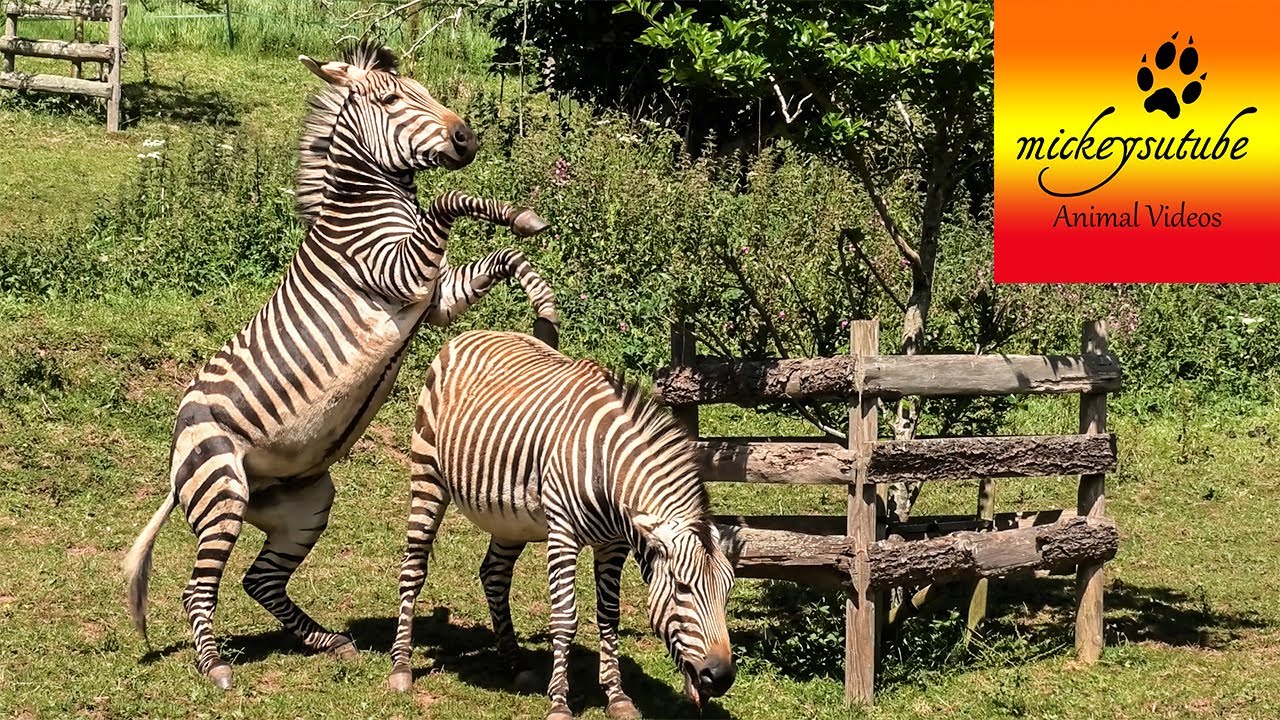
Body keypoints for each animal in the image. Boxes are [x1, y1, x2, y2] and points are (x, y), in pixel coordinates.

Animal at [121, 44, 559, 690]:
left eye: (421, 89)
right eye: (392, 99)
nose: (467, 138)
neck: (370, 202)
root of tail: (176, 465)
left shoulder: (434, 298)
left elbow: (505, 257)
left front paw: (544, 308)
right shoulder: (403, 272)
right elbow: (448, 202)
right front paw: (520, 222)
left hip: (304, 502)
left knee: (259, 579)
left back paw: (328, 642)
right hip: (223, 488)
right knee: (197, 588)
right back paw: (215, 666)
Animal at [391, 330, 737, 720]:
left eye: (728, 591)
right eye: (682, 588)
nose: (721, 677)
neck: (607, 467)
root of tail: (473, 332)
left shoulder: (613, 546)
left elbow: (609, 615)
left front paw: (616, 696)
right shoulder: (563, 536)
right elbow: (564, 618)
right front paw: (558, 702)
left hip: (510, 518)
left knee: (494, 575)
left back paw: (515, 664)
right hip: (427, 474)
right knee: (414, 569)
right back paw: (401, 666)